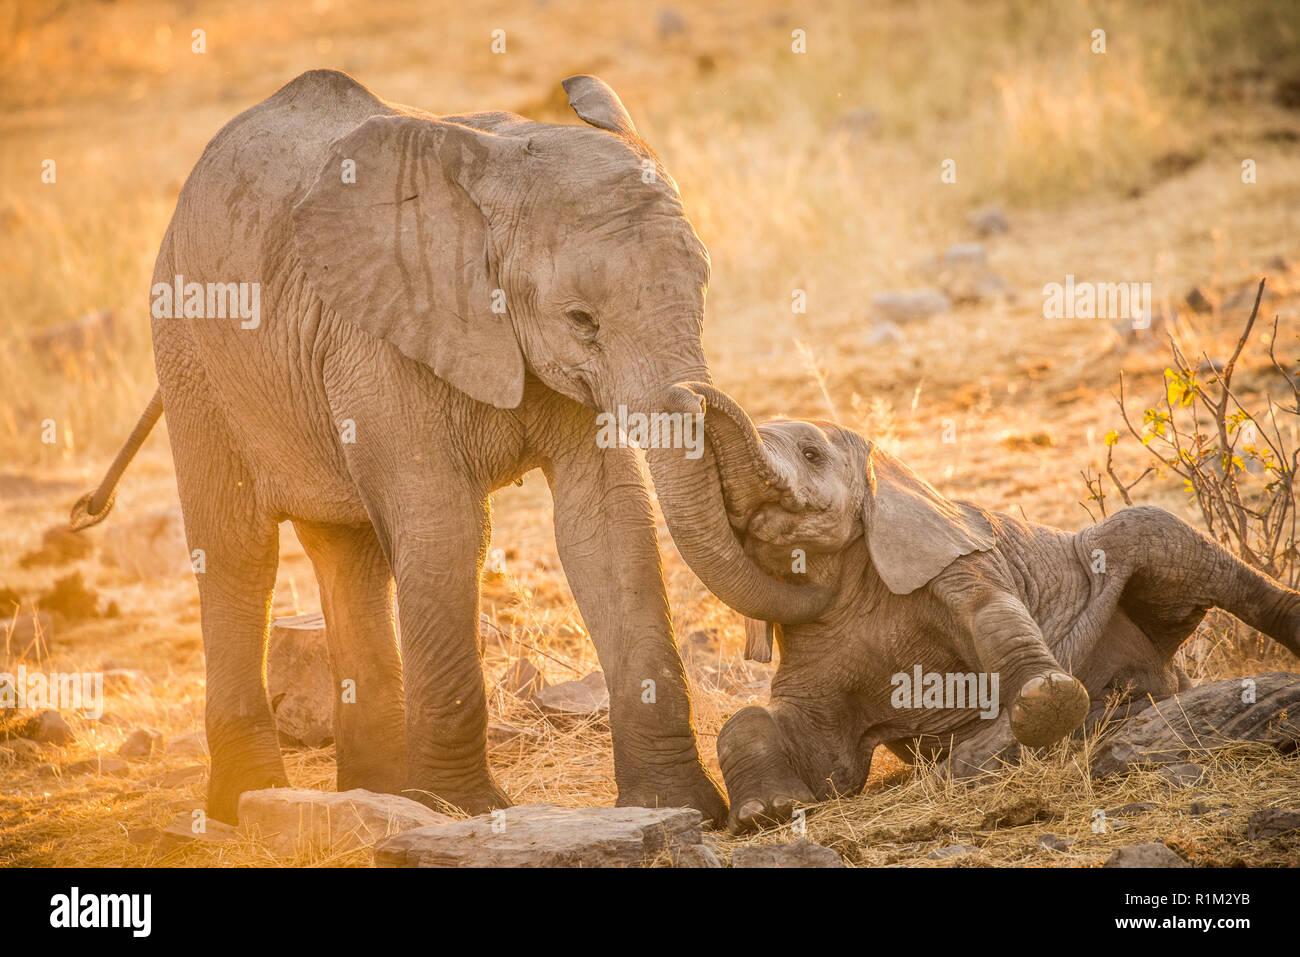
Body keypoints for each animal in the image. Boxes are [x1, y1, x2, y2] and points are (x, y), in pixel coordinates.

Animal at [70, 70, 830, 824]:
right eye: (581, 319)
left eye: (703, 286)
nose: (701, 398)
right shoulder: (379, 337)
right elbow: (445, 529)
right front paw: (464, 809)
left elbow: (610, 524)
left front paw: (677, 807)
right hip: (190, 351)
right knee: (238, 553)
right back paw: (245, 803)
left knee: (350, 557)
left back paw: (375, 795)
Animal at [675, 383, 1300, 833]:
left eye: (810, 453)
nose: (686, 392)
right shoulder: (816, 640)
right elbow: (811, 749)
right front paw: (768, 813)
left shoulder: (956, 560)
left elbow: (991, 614)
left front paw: (1046, 701)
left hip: (1141, 549)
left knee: (1169, 543)